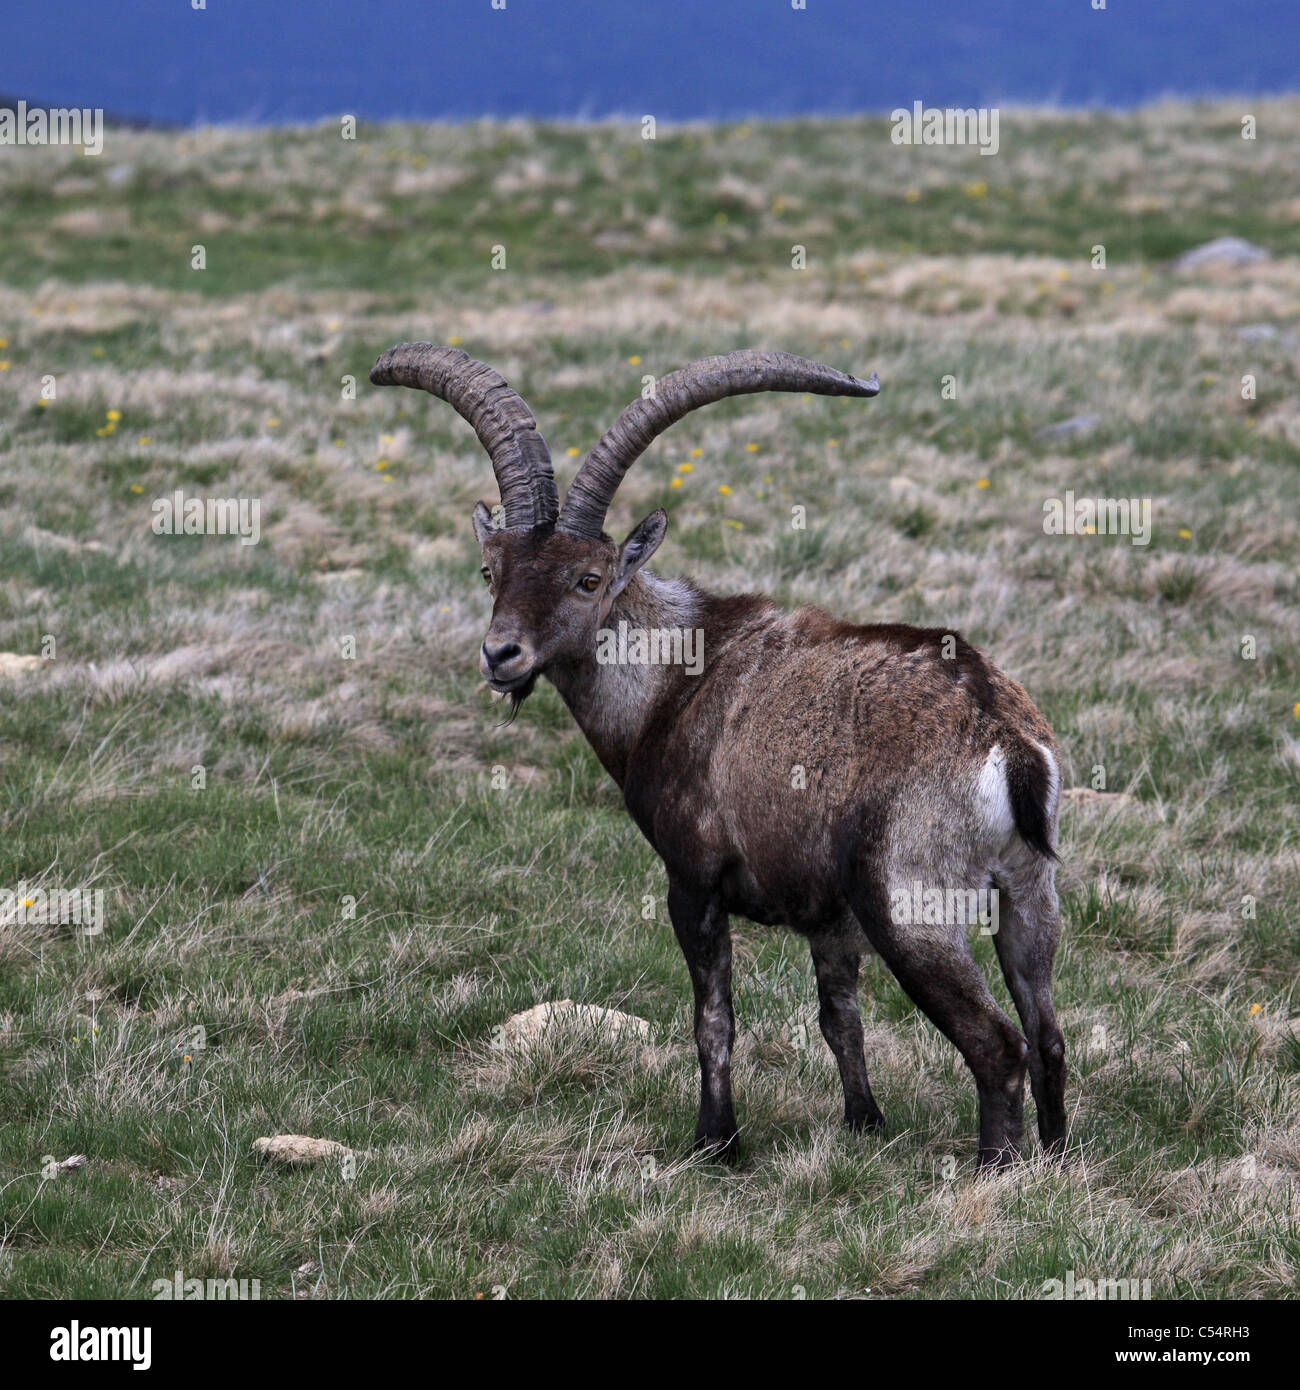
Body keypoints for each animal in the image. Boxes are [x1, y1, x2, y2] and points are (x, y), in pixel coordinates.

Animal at [371, 343, 1066, 1168]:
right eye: (490, 569)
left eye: (589, 578)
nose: (501, 655)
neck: (670, 678)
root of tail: (1005, 738)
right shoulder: (829, 914)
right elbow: (839, 1015)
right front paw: (863, 1122)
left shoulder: (694, 879)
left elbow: (714, 1018)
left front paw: (716, 1141)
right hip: (1029, 891)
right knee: (1047, 1032)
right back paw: (1058, 1153)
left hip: (911, 905)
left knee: (996, 1044)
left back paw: (995, 1165)